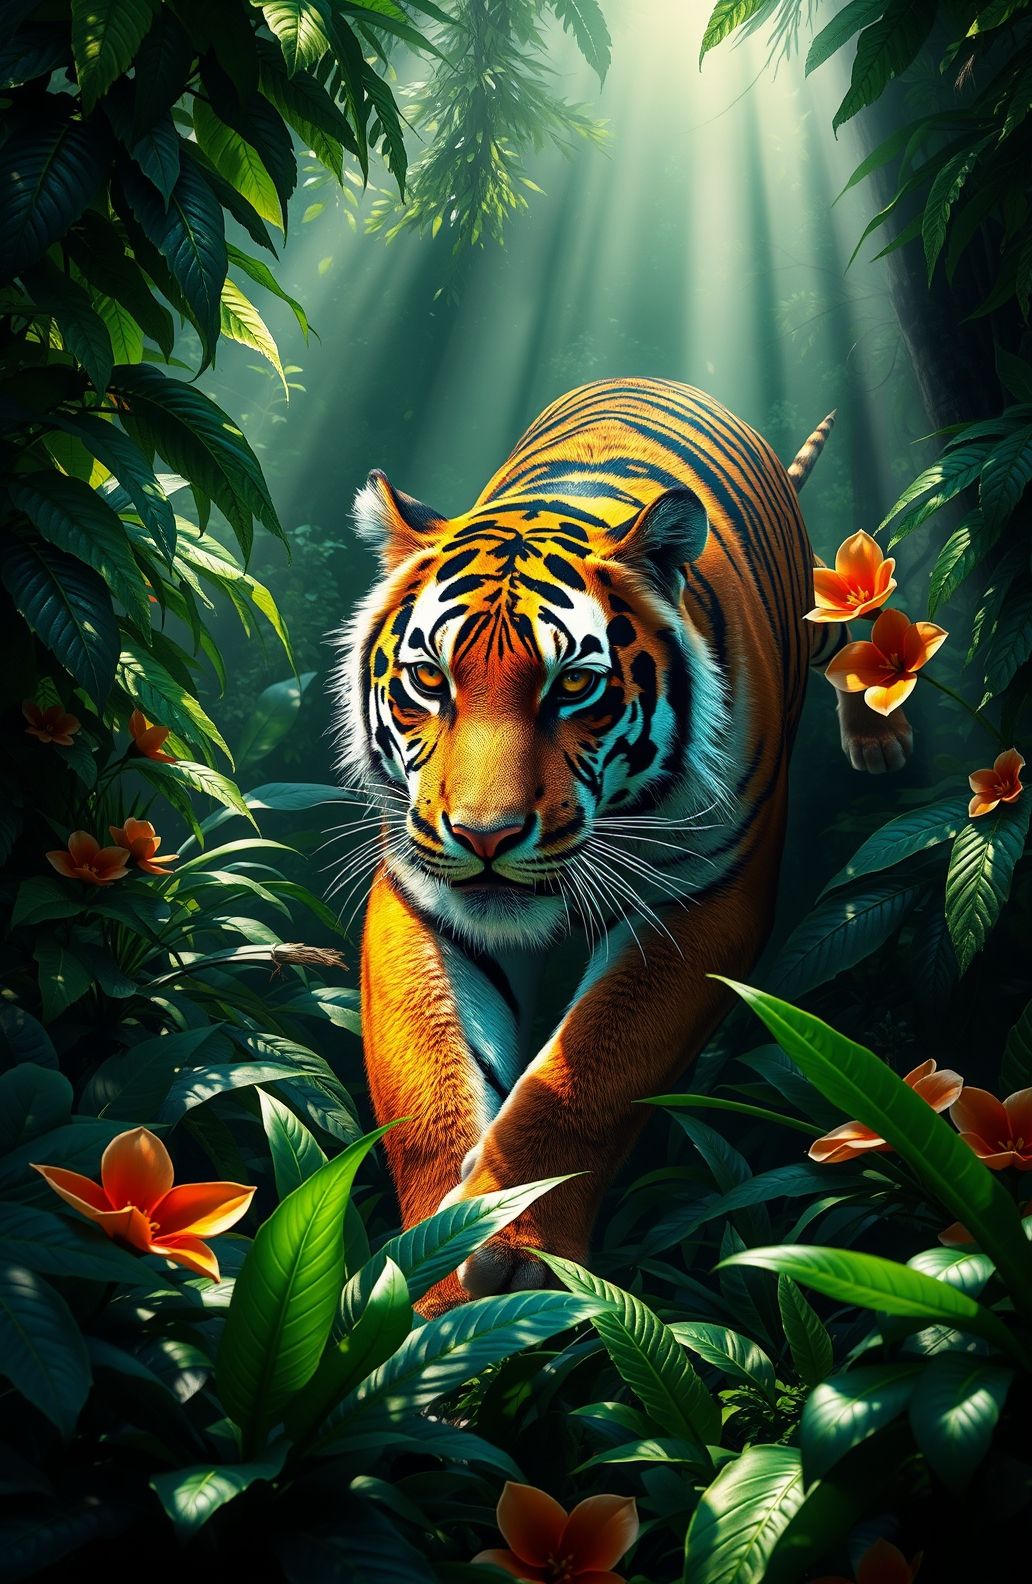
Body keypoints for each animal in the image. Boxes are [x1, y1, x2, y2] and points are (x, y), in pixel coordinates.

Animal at [333, 377, 912, 1316]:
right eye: (429, 680)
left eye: (575, 685)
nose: (485, 835)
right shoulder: (423, 897)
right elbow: (426, 1083)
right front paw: (434, 1272)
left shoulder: (708, 900)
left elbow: (592, 1076)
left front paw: (516, 1246)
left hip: (820, 613)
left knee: (856, 611)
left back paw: (880, 734)